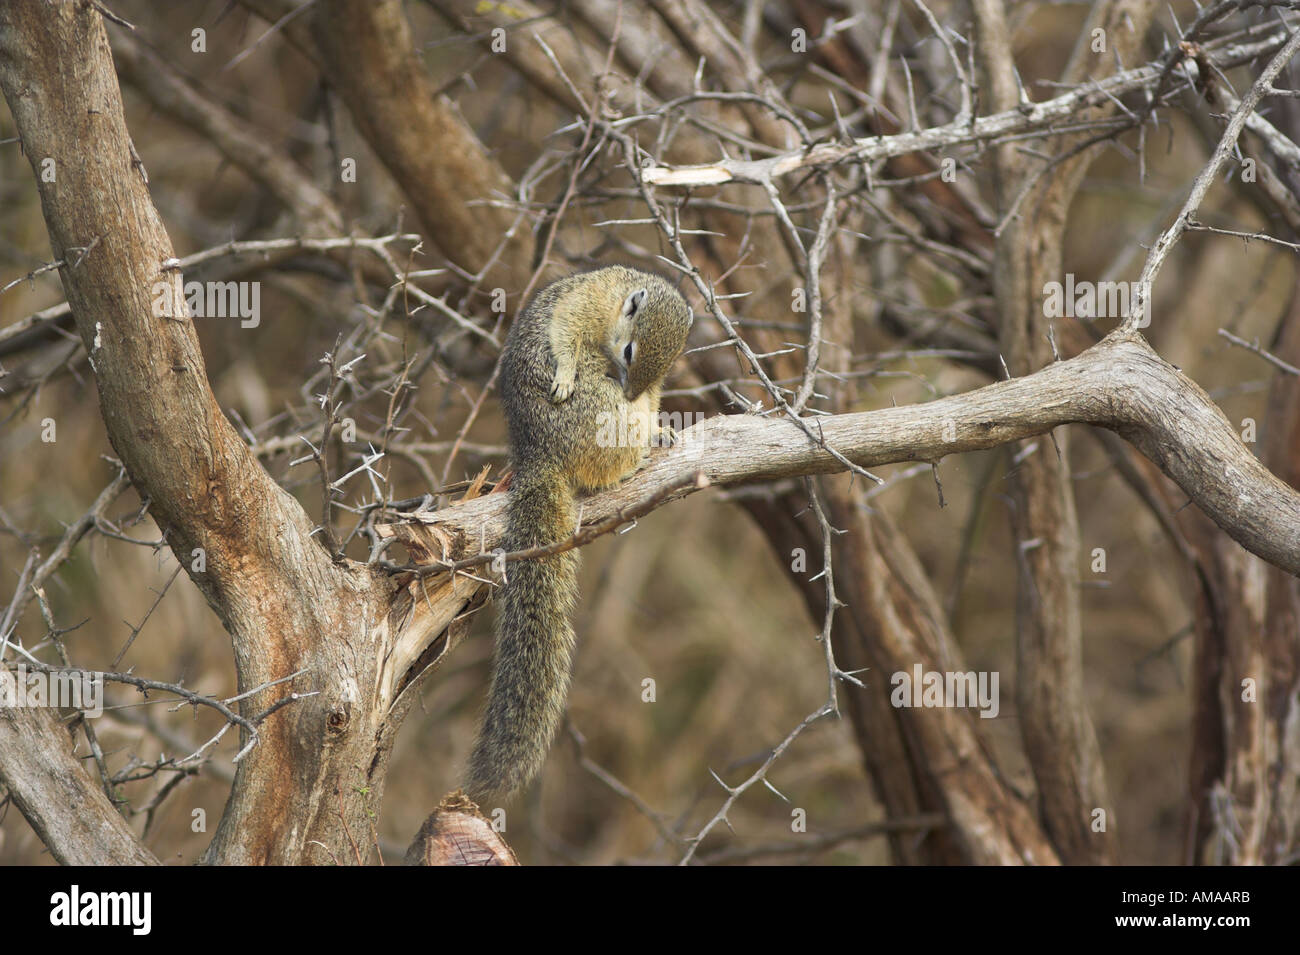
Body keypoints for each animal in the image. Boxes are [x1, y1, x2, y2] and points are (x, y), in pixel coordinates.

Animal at [465, 265, 693, 799]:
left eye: (669, 361)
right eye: (629, 352)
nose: (632, 392)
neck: (618, 298)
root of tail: (537, 454)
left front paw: (663, 424)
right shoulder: (581, 305)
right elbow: (565, 336)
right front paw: (566, 373)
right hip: (600, 418)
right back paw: (633, 463)